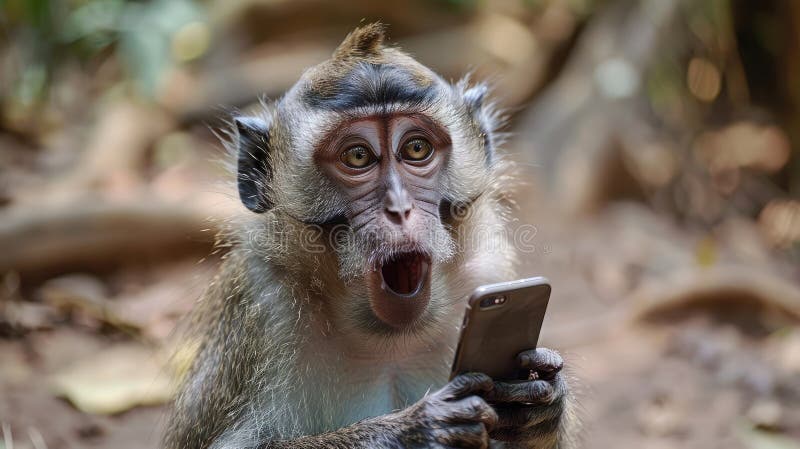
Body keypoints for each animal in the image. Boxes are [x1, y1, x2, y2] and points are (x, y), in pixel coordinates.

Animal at [164, 23, 575, 449]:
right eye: (357, 157)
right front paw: (414, 428)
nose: (399, 208)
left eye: (416, 148)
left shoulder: (487, 272)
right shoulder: (264, 306)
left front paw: (542, 404)